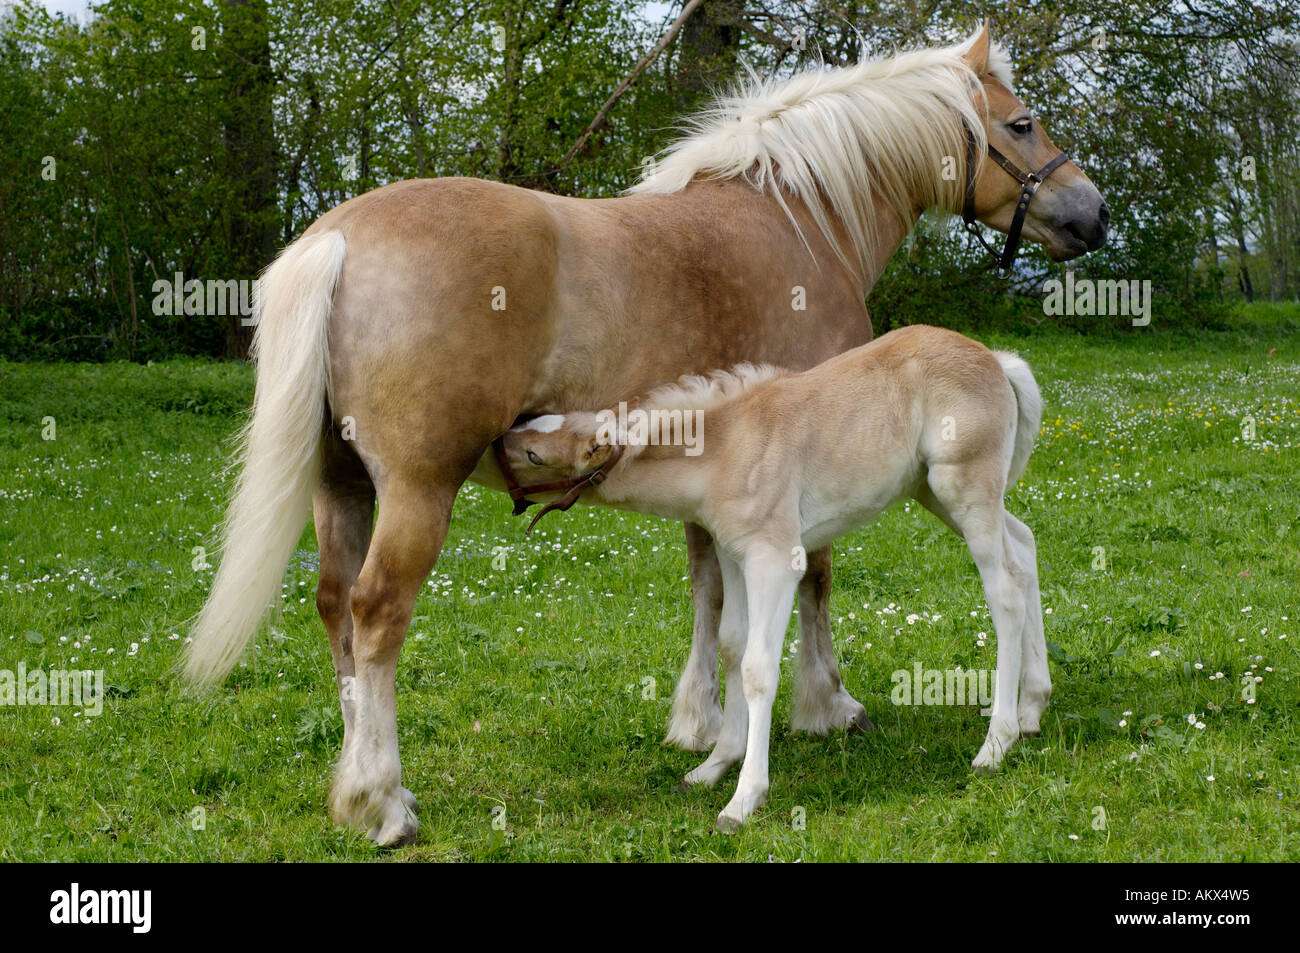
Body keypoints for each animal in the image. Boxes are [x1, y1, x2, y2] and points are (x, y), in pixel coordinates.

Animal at [499, 325, 1046, 830]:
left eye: (534, 455)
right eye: (532, 421)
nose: (500, 436)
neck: (724, 450)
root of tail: (997, 360)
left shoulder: (774, 559)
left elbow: (759, 668)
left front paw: (743, 799)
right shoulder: (733, 553)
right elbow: (731, 645)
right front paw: (714, 764)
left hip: (964, 489)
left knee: (1005, 591)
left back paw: (996, 744)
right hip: (933, 491)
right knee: (1024, 548)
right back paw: (1031, 710)